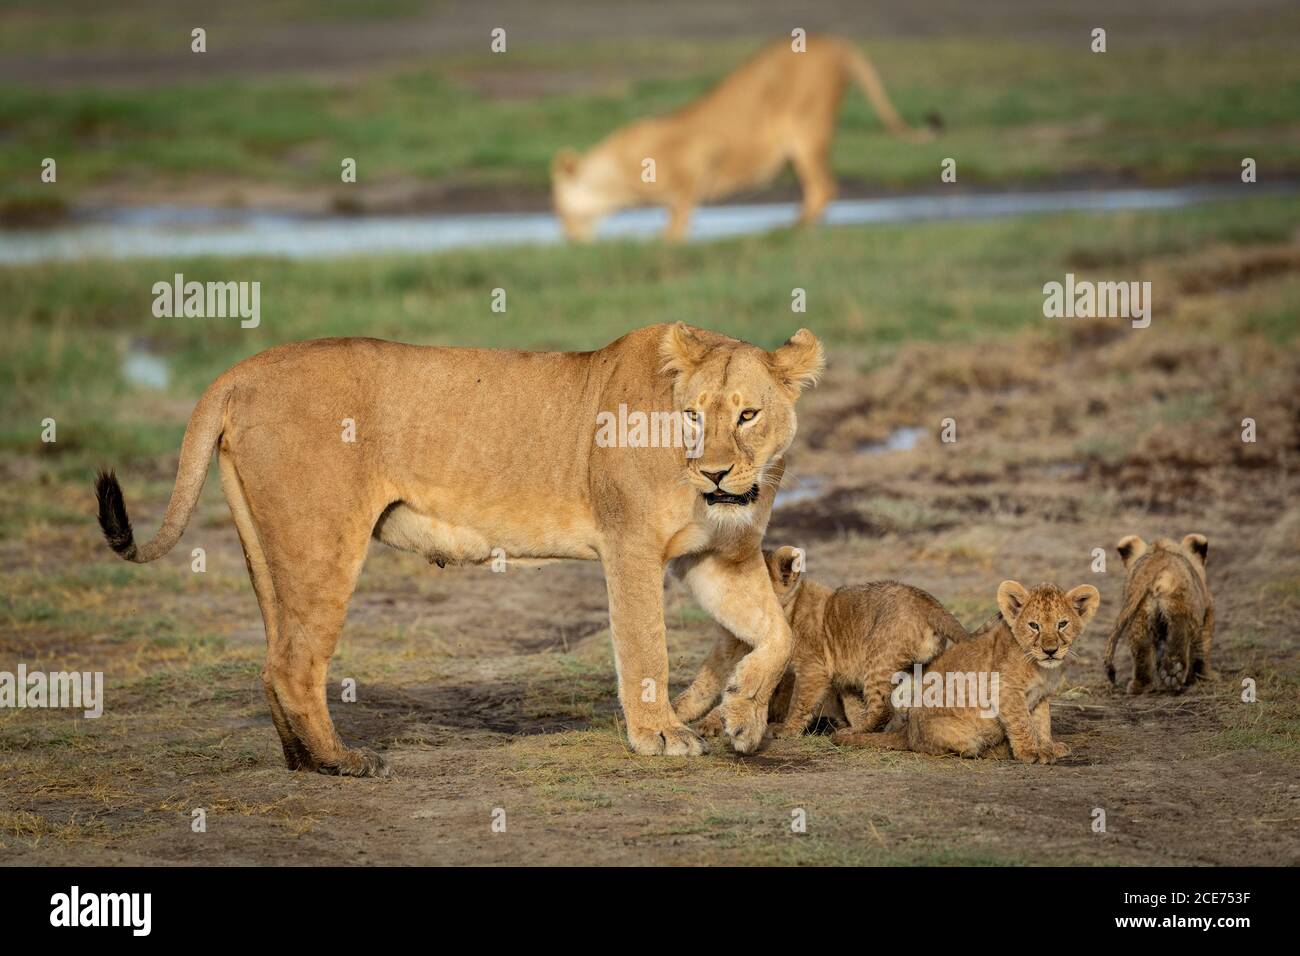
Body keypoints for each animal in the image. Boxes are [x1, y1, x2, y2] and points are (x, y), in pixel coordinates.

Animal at [95, 323, 824, 775]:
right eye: (694, 415)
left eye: (748, 414)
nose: (715, 475)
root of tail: (240, 373)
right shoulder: (631, 546)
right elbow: (645, 646)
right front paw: (663, 735)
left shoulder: (716, 556)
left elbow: (778, 633)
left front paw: (741, 718)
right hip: (322, 541)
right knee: (295, 664)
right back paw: (344, 762)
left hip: (268, 546)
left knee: (273, 655)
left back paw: (303, 761)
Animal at [551, 34, 935, 241]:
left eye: (559, 209)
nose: (567, 238)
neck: (614, 177)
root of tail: (838, 42)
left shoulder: (702, 151)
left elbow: (679, 208)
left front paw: (667, 237)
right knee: (815, 187)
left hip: (805, 125)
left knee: (825, 186)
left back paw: (792, 228)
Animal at [675, 546, 969, 739]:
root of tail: (929, 603)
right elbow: (700, 692)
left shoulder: (813, 668)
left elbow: (799, 701)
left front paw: (786, 730)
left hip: (879, 658)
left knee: (882, 707)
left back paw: (853, 732)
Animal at [834, 581, 1101, 764]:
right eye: (1033, 625)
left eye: (1062, 624)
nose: (1050, 650)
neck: (1040, 667)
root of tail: (908, 733)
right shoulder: (1005, 690)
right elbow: (1021, 723)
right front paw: (1031, 753)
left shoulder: (1042, 696)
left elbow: (1042, 723)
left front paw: (1048, 746)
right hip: (957, 732)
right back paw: (1000, 751)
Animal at [1103, 534, 1215, 694]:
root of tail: (1156, 559)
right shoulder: (1207, 613)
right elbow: (1203, 649)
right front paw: (1207, 677)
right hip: (1180, 605)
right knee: (1179, 633)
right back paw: (1173, 673)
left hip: (1140, 615)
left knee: (1141, 648)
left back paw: (1141, 686)